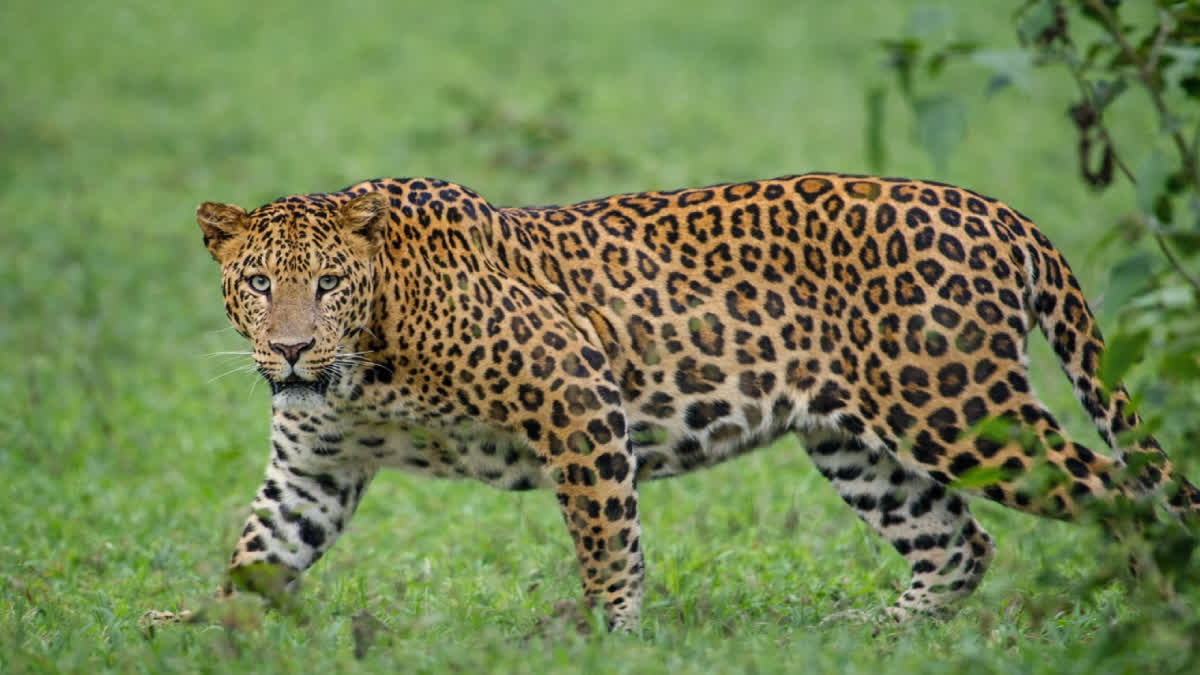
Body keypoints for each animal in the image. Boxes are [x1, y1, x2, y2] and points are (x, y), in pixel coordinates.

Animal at [164, 173, 1200, 631]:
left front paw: (608, 636)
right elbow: (258, 555)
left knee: (1121, 493)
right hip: (857, 440)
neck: (367, 361)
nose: (291, 347)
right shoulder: (314, 466)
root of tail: (1001, 211)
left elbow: (605, 537)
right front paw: (196, 632)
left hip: (957, 408)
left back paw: (1147, 620)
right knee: (959, 541)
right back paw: (877, 635)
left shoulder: (576, 392)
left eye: (329, 282)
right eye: (258, 283)